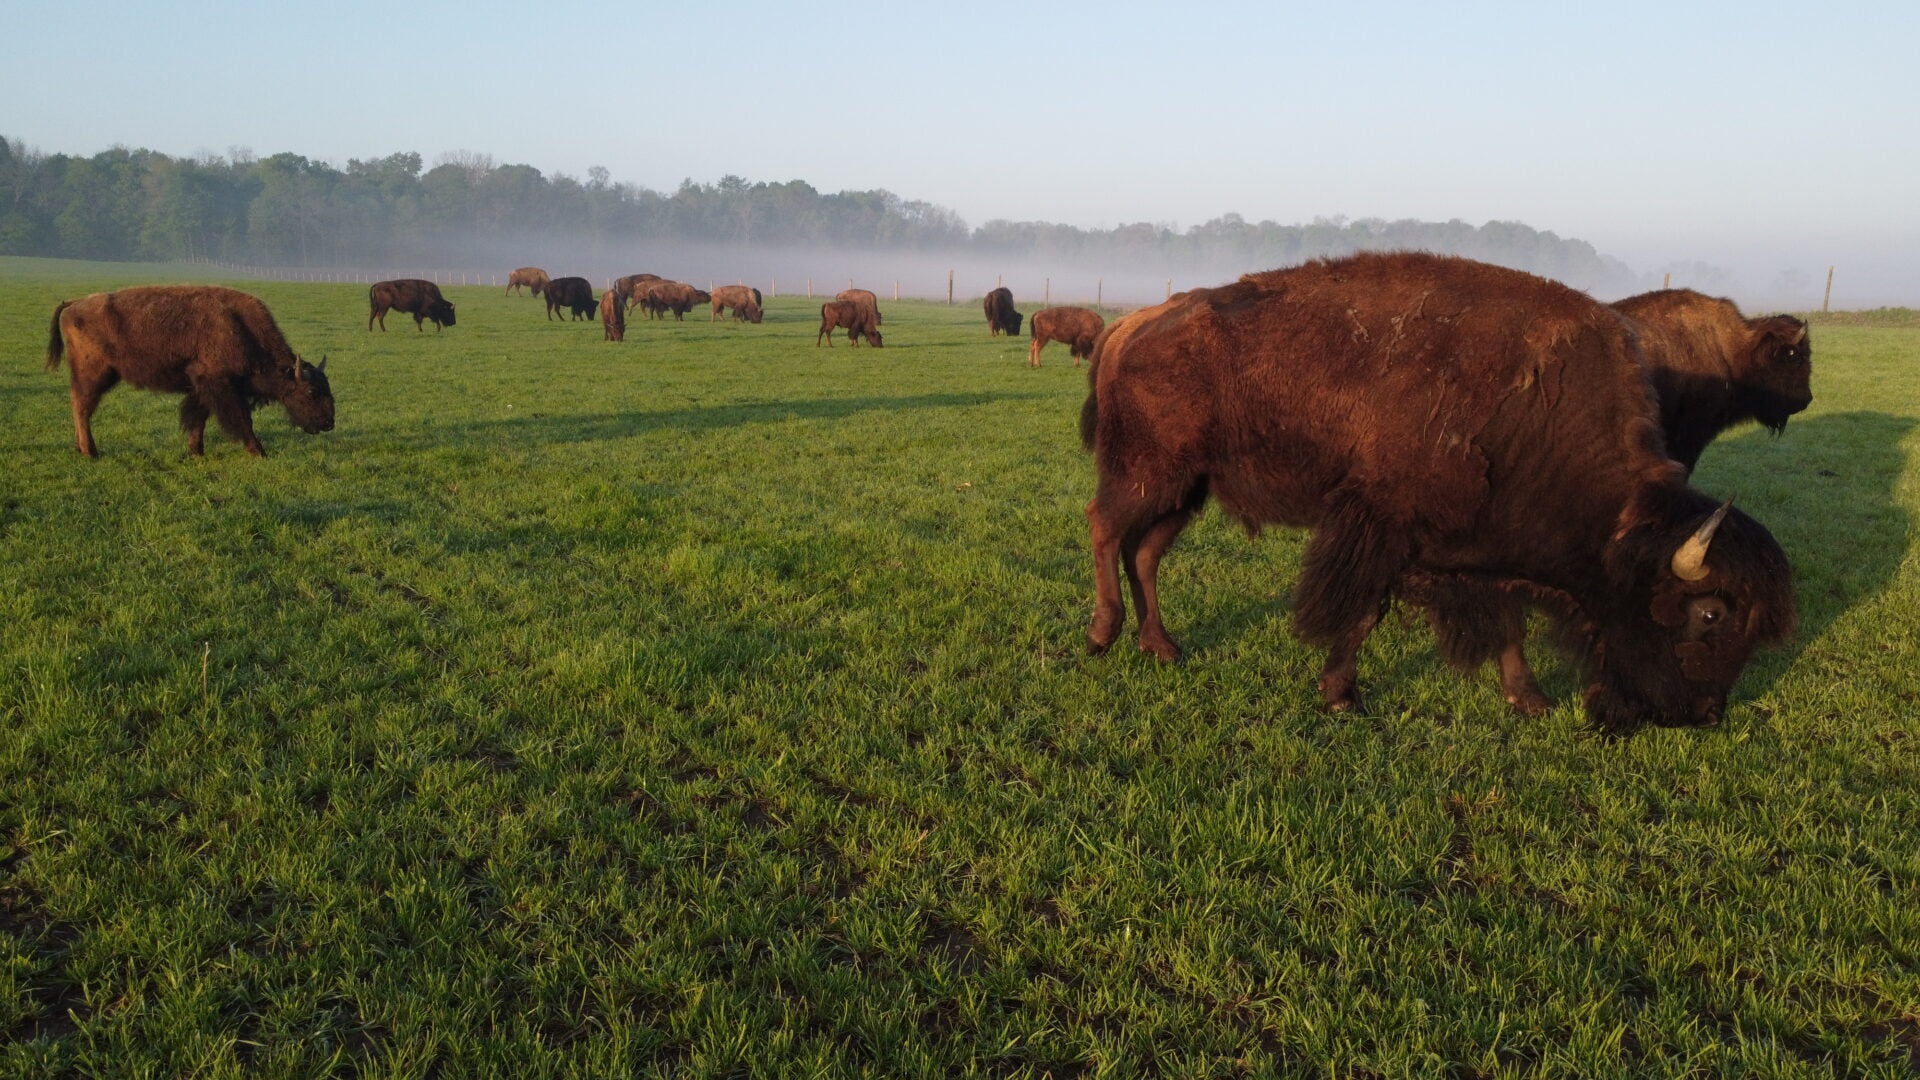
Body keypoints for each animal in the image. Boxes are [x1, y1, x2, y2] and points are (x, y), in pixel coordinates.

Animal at [46, 285, 334, 458]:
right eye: (311, 391)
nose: (328, 423)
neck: (239, 326)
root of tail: (74, 303)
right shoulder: (218, 384)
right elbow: (241, 419)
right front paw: (258, 452)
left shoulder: (202, 388)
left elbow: (198, 419)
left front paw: (196, 451)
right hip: (94, 373)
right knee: (82, 406)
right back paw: (91, 452)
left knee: (79, 405)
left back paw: (81, 448)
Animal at [1081, 252, 1795, 736]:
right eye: (1711, 614)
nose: (1704, 713)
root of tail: (1131, 326)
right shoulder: (1384, 529)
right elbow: (1363, 614)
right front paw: (1341, 694)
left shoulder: (1485, 549)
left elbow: (1508, 622)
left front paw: (1528, 698)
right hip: (1149, 472)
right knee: (1105, 527)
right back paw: (1102, 634)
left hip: (1186, 489)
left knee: (1144, 553)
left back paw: (1161, 646)